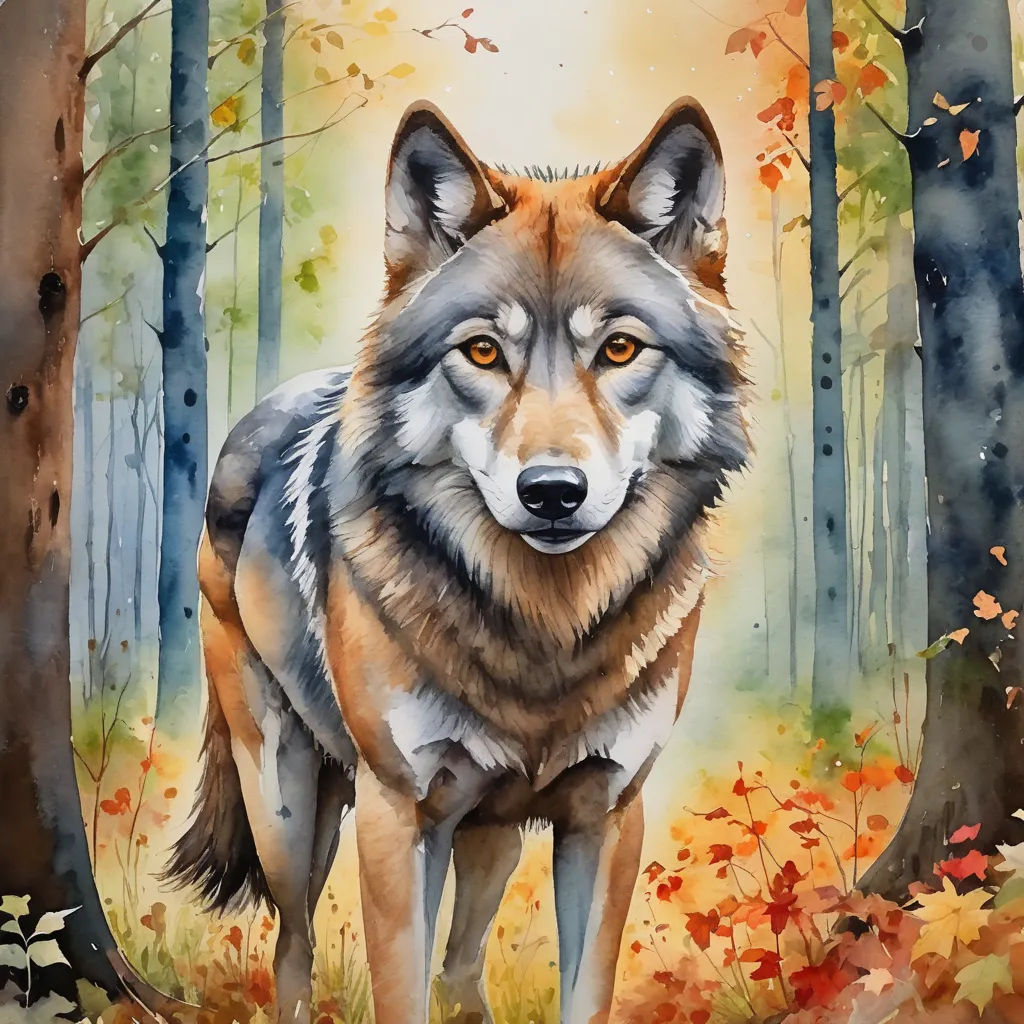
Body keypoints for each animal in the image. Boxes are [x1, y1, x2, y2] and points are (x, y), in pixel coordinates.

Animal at [165, 97, 747, 1024]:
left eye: (619, 350)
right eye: (482, 352)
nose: (553, 493)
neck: (542, 632)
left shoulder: (607, 817)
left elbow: (573, 990)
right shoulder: (398, 816)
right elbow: (397, 987)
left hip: (492, 830)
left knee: (463, 962)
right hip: (290, 804)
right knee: (294, 943)